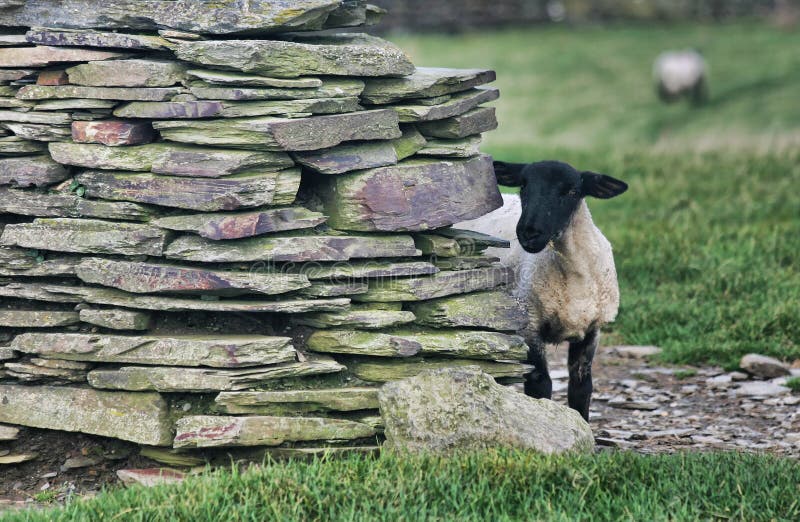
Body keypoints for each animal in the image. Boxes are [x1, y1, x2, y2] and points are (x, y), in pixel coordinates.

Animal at [457, 161, 628, 420]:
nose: (529, 232)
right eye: (523, 185)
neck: (575, 273)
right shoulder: (529, 324)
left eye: (572, 191)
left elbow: (581, 387)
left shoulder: (592, 329)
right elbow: (540, 384)